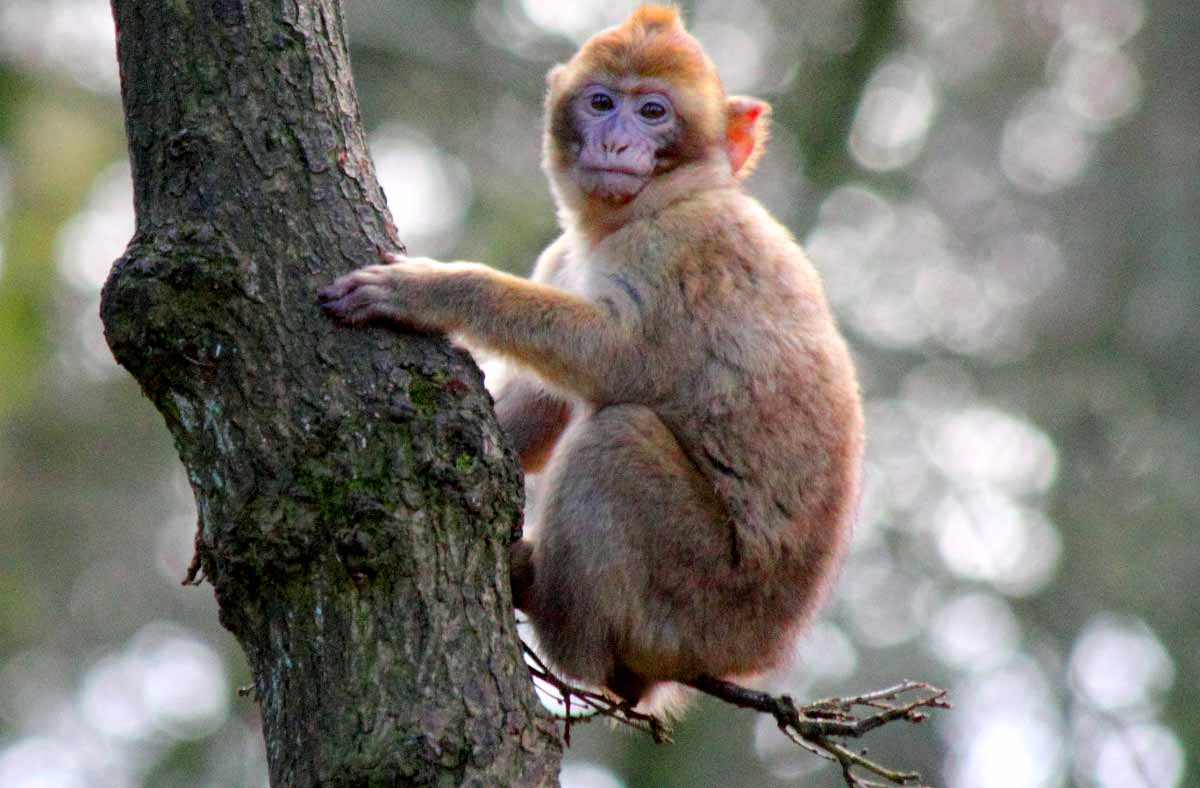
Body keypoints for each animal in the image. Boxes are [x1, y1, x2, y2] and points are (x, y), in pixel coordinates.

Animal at [319, 5, 863, 711]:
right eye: (602, 103)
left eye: (653, 111)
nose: (616, 143)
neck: (639, 214)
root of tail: (755, 653)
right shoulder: (561, 256)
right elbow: (542, 404)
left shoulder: (682, 247)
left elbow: (624, 364)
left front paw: (435, 291)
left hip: (702, 595)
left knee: (618, 435)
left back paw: (553, 614)